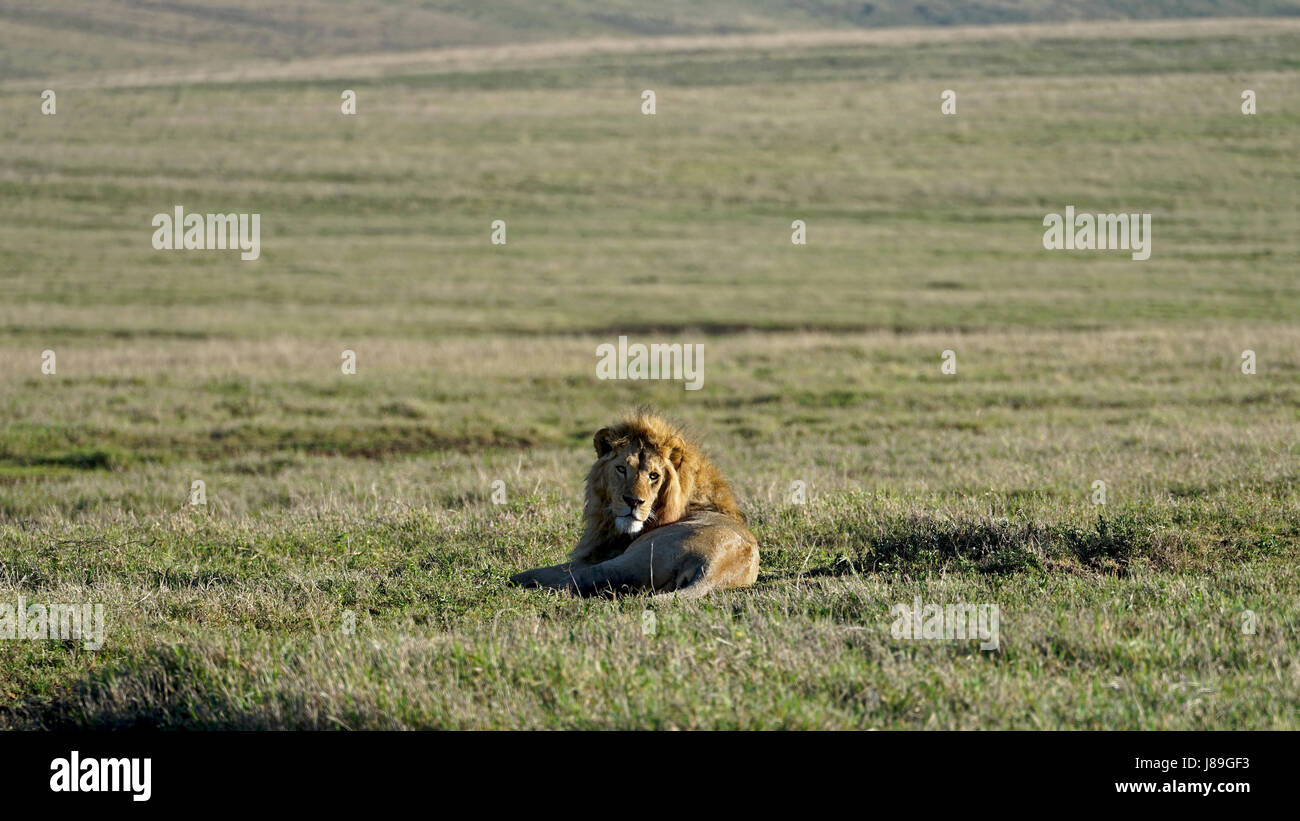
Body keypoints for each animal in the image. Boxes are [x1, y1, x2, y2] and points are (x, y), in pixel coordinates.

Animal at [509, 411, 759, 598]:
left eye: (654, 476)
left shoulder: (600, 555)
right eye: (621, 469)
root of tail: (715, 567)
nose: (633, 501)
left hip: (635, 558)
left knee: (574, 579)